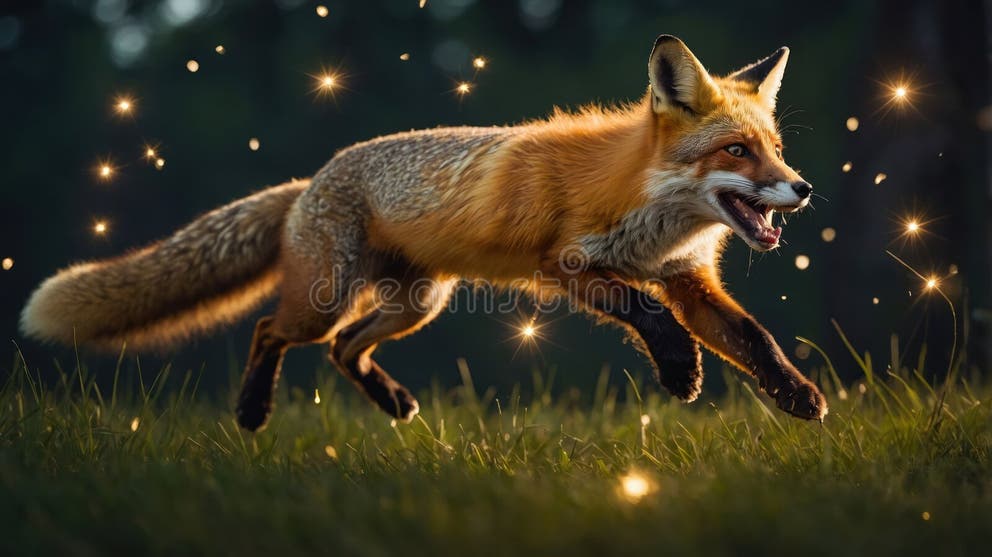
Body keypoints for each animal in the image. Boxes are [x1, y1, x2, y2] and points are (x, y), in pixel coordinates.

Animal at [21, 35, 827, 431]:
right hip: (325, 298)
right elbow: (645, 311)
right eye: (736, 151)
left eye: (776, 148)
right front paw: (681, 371)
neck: (649, 208)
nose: (804, 188)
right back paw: (252, 412)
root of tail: (311, 179)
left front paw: (797, 398)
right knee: (269, 330)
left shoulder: (686, 276)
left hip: (417, 303)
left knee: (345, 349)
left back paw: (392, 403)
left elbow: (754, 338)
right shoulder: (565, 264)